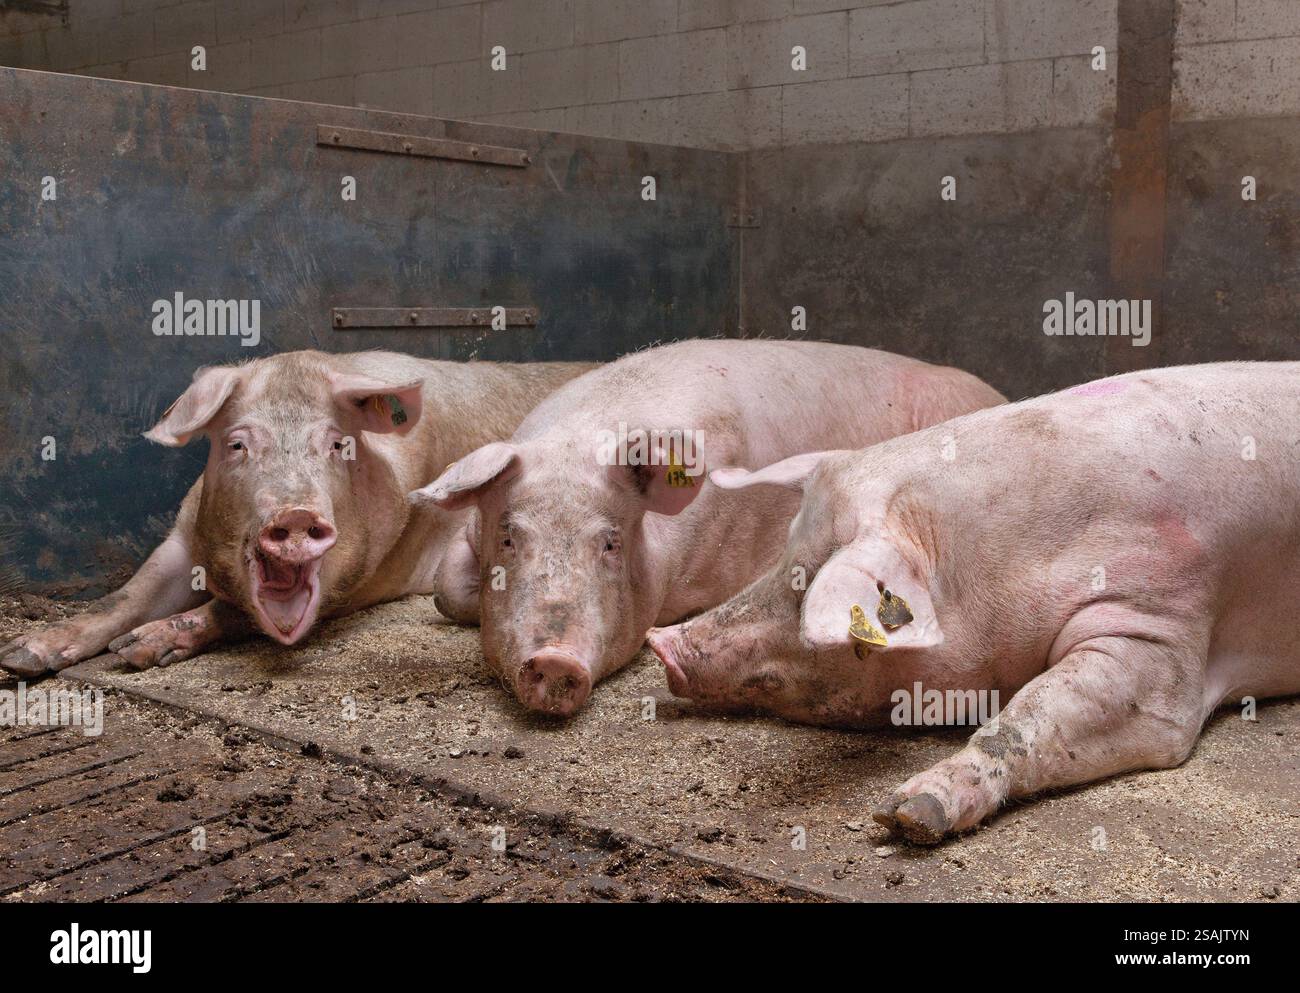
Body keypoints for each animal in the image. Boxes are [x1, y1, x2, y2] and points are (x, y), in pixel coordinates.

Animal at [0, 350, 591, 677]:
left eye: (337, 445)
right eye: (237, 445)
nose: (296, 514)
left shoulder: (365, 577)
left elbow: (232, 610)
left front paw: (136, 650)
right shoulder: (182, 537)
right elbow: (125, 595)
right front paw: (20, 658)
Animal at [647, 362, 1300, 844]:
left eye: (808, 581)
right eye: (786, 550)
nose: (662, 644)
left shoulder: (1163, 621)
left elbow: (1033, 709)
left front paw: (907, 813)